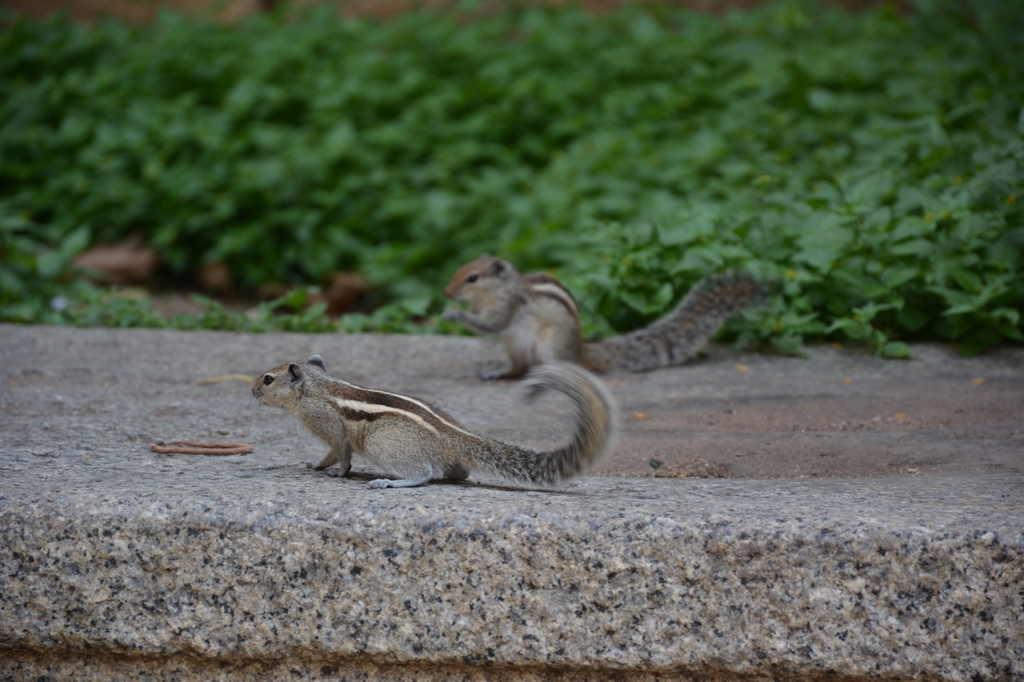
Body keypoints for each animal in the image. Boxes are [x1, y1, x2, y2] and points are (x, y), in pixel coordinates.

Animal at [251, 354, 617, 489]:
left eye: (268, 379)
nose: (251, 389)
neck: (316, 387)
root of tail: (451, 434)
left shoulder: (328, 425)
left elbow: (340, 453)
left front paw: (333, 471)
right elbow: (328, 453)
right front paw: (313, 465)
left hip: (382, 443)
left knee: (423, 474)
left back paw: (391, 483)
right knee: (458, 472)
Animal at [443, 254, 763, 379]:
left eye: (472, 278)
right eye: (458, 269)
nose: (446, 292)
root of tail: (581, 352)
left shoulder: (507, 306)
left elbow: (491, 324)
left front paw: (454, 314)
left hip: (551, 345)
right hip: (516, 346)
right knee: (518, 368)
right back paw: (500, 371)